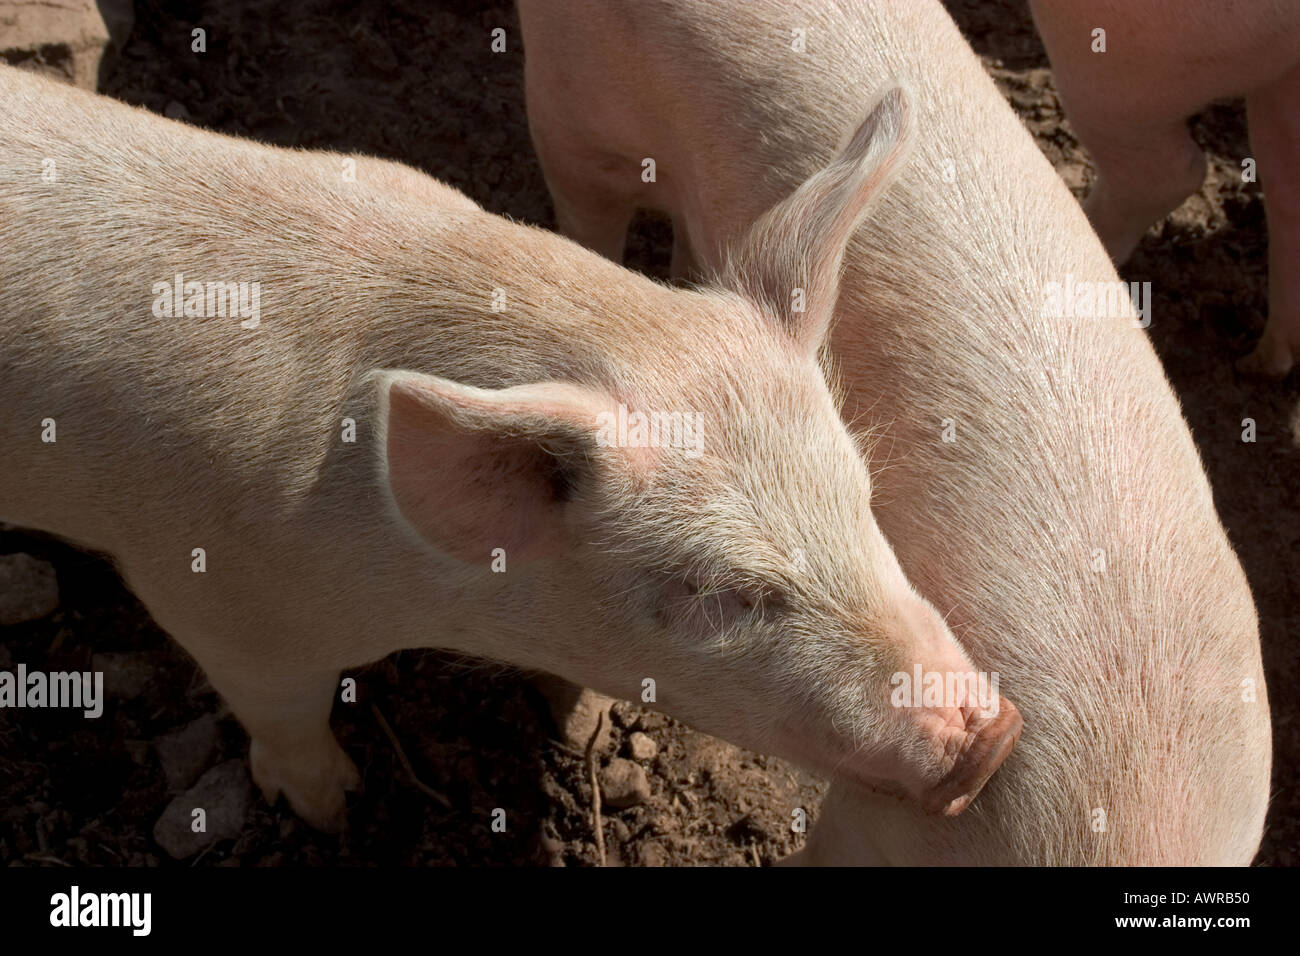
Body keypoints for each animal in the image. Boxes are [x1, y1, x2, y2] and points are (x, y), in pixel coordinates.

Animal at [0, 64, 1021, 834]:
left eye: (861, 500)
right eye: (715, 592)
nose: (995, 737)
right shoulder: (213, 600)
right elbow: (280, 710)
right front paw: (335, 812)